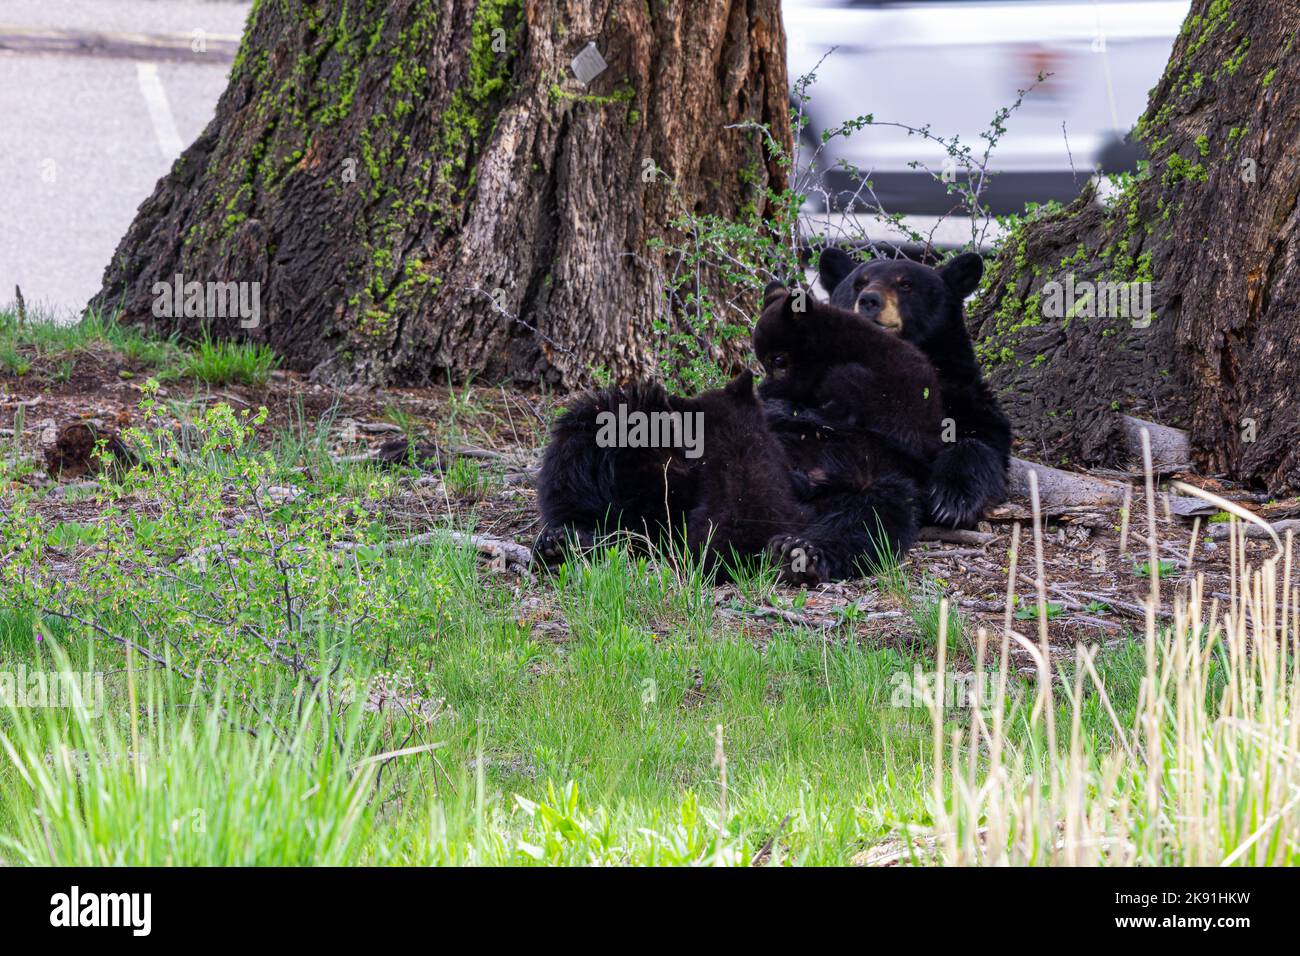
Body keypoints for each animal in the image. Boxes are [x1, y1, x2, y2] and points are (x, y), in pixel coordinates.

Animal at [816, 248, 1012, 529]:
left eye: (906, 284)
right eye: (859, 284)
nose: (869, 300)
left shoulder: (958, 393)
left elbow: (983, 438)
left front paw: (951, 500)